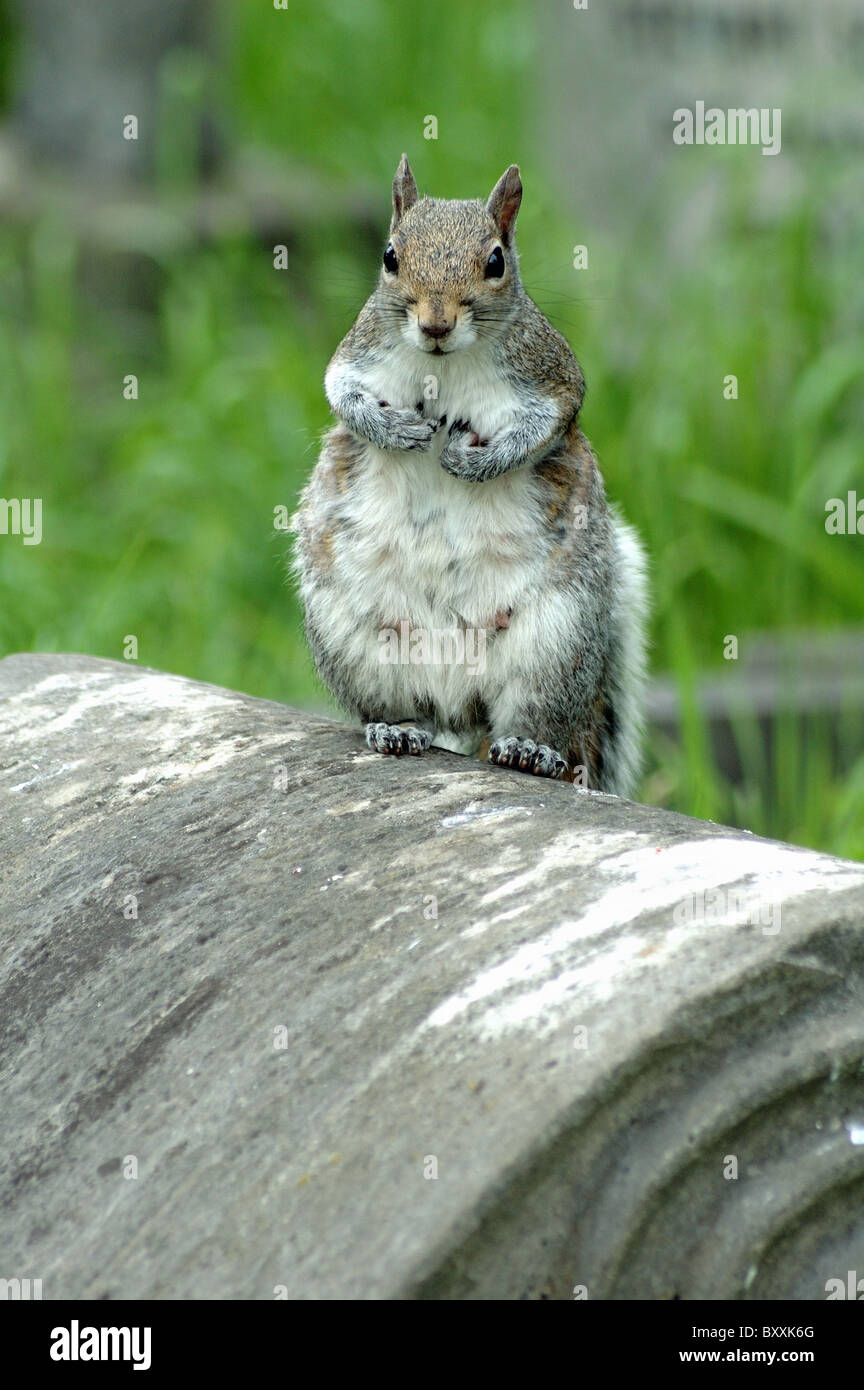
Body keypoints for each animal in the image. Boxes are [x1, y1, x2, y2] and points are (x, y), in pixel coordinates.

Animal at [292, 156, 648, 795]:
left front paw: (471, 461)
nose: (435, 324)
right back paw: (396, 730)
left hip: (555, 642)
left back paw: (530, 750)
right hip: (354, 639)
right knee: (402, 706)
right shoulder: (358, 352)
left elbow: (544, 426)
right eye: (390, 255)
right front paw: (396, 431)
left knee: (536, 714)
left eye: (496, 261)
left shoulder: (551, 373)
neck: (444, 365)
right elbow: (343, 396)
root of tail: (458, 702)